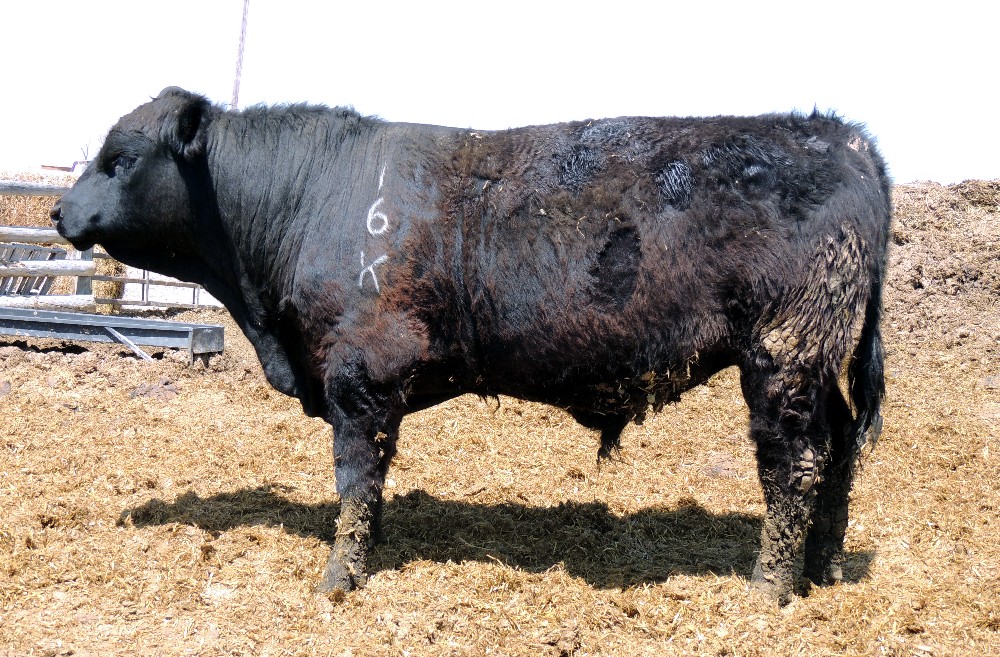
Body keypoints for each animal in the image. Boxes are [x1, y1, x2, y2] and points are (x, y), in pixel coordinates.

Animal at [50, 87, 890, 604]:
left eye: (122, 159)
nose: (57, 210)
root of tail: (837, 133)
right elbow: (374, 482)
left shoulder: (358, 373)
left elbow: (354, 477)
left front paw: (338, 577)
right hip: (821, 365)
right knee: (842, 451)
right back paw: (823, 568)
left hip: (785, 354)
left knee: (796, 464)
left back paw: (770, 585)